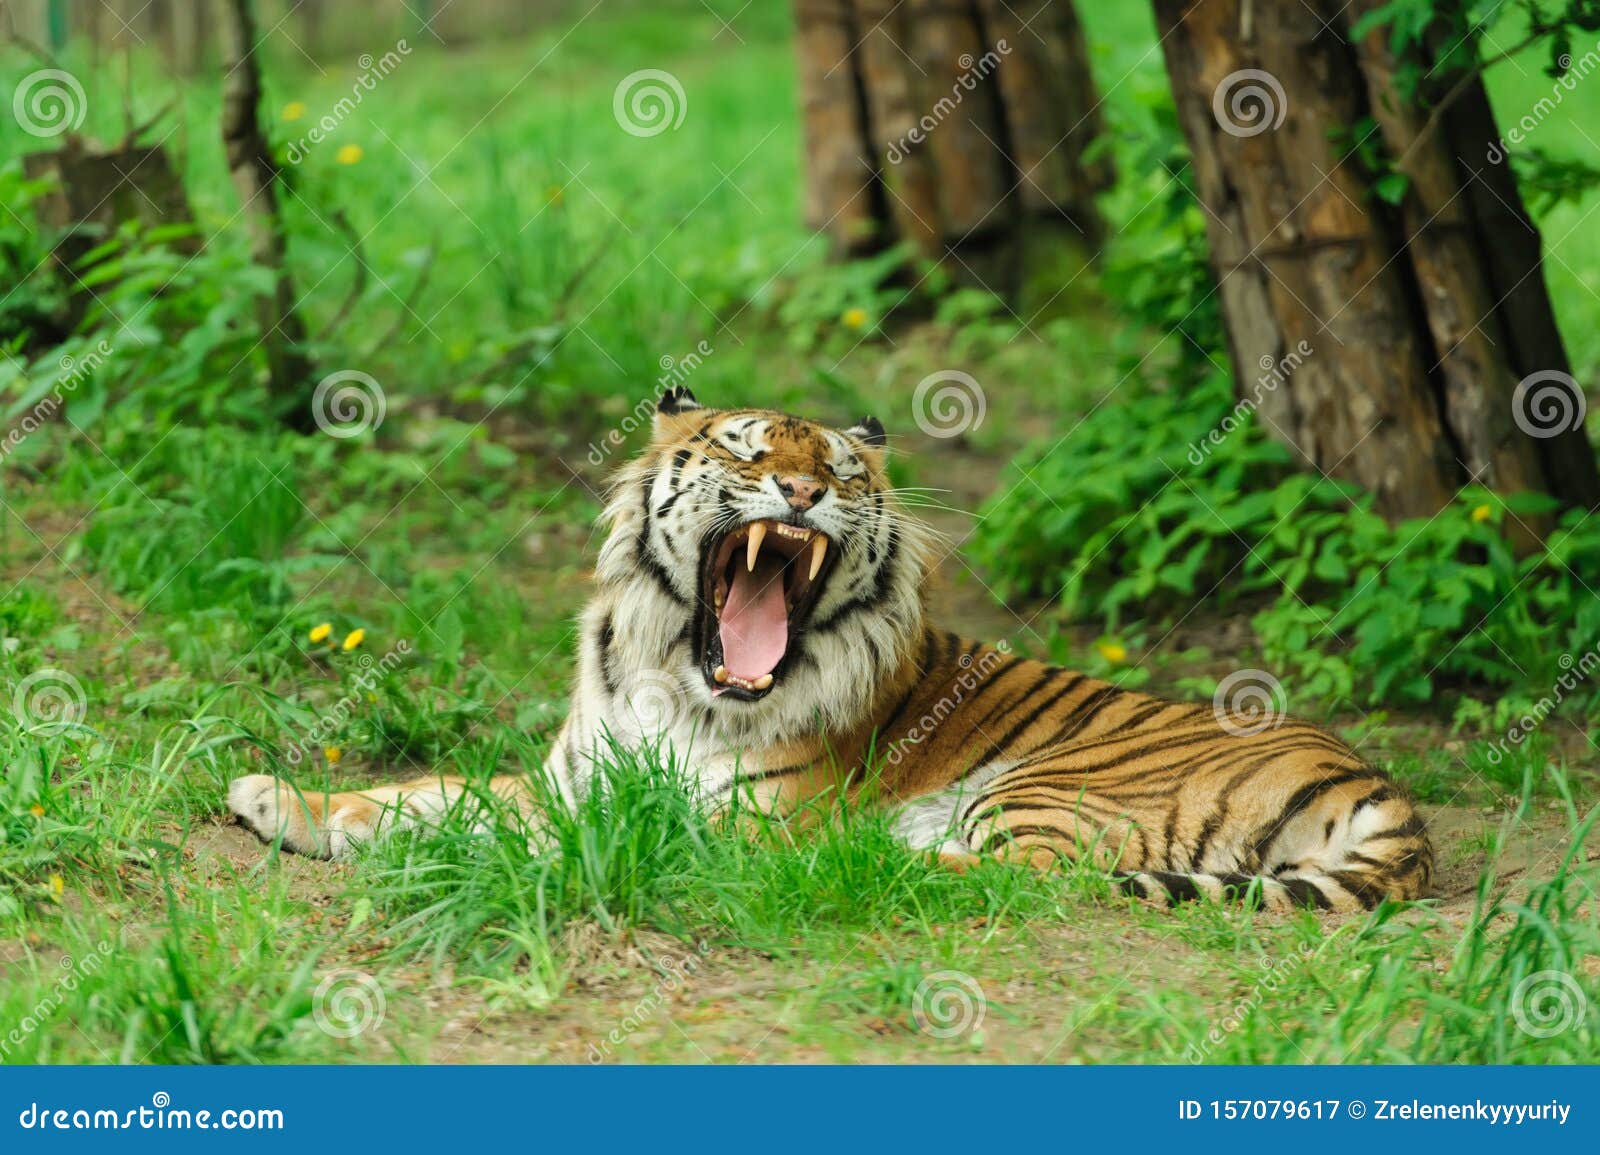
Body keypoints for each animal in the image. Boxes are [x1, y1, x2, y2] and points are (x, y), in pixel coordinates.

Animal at [228, 387, 1433, 913]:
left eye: (845, 473)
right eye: (748, 451)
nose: (804, 491)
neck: (677, 674)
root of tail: (1379, 782)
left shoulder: (738, 813)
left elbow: (524, 834)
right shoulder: (571, 774)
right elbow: (431, 792)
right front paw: (277, 800)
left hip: (1052, 784)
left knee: (1016, 876)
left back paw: (855, 857)